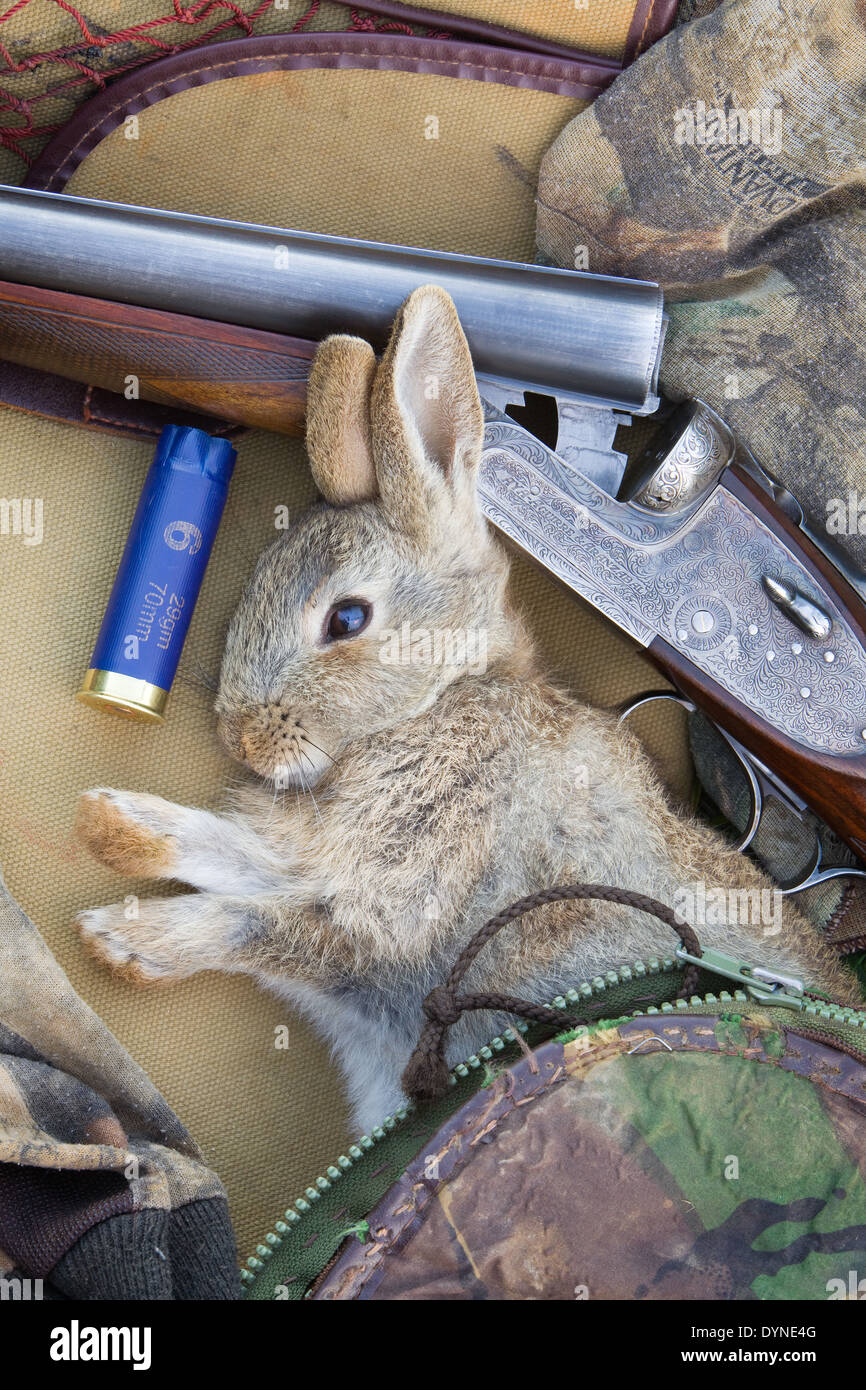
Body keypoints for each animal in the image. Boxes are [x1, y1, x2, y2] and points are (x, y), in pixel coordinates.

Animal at [75, 284, 858, 1134]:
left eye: (347, 619)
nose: (241, 738)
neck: (438, 705)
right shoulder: (320, 861)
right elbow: (230, 852)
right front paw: (113, 821)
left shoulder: (392, 921)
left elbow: (258, 923)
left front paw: (123, 939)